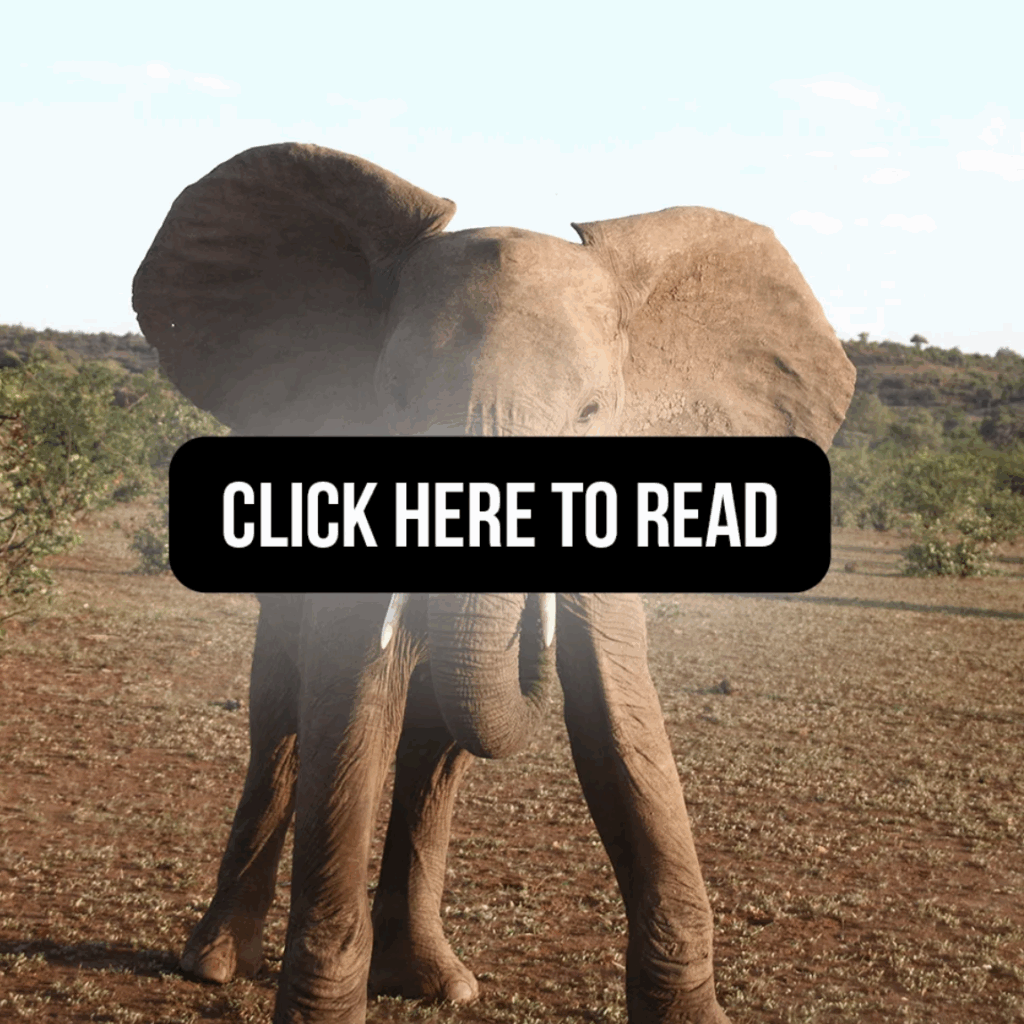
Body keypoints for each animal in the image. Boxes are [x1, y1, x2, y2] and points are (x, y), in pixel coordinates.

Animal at [132, 142, 856, 1024]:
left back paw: (434, 983)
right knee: (281, 722)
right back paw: (212, 965)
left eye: (591, 413)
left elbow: (619, 710)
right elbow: (350, 708)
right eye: (395, 399)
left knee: (434, 744)